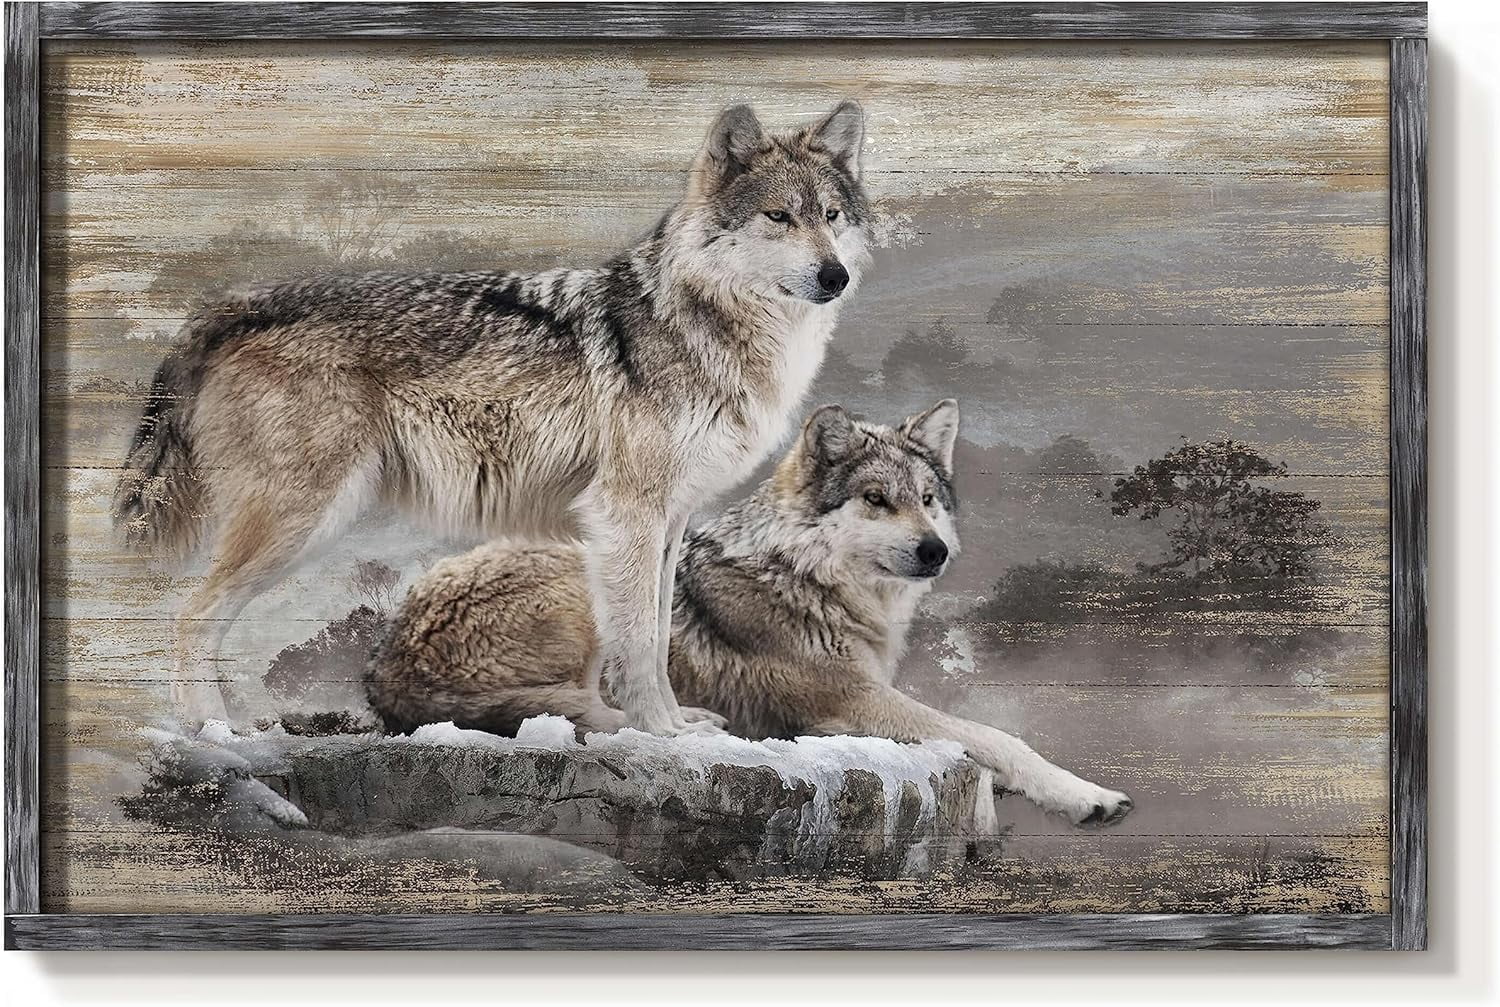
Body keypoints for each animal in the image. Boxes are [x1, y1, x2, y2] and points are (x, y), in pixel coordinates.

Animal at [115, 100, 872, 734]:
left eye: (832, 215)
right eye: (779, 217)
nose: (836, 277)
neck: (710, 326)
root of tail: (233, 303)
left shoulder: (669, 521)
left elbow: (658, 639)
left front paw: (677, 723)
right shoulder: (626, 513)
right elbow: (636, 644)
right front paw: (663, 733)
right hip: (303, 520)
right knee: (189, 617)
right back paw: (212, 730)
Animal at [366, 401, 1135, 826]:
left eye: (927, 498)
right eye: (875, 499)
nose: (935, 550)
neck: (810, 578)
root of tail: (383, 667)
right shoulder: (854, 700)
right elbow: (998, 738)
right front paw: (1087, 795)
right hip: (590, 584)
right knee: (598, 714)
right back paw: (690, 724)